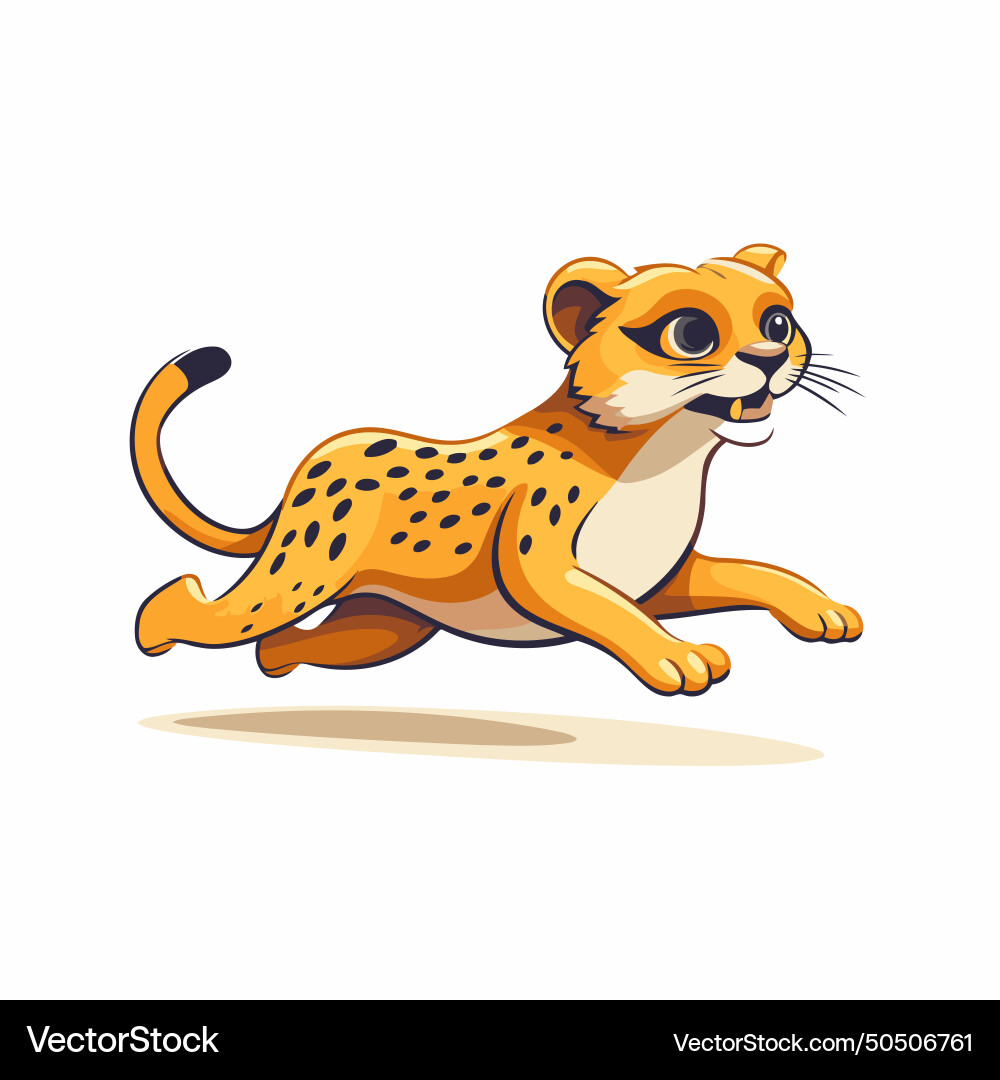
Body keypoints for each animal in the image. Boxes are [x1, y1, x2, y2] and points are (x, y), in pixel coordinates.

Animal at [132, 243, 862, 696]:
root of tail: (319, 458)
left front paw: (822, 609)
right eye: (691, 334)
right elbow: (609, 609)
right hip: (303, 579)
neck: (659, 452)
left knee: (289, 645)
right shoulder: (549, 570)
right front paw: (676, 656)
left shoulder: (663, 580)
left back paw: (274, 660)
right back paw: (155, 628)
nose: (771, 357)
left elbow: (755, 571)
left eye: (779, 321)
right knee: (213, 613)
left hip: (384, 626)